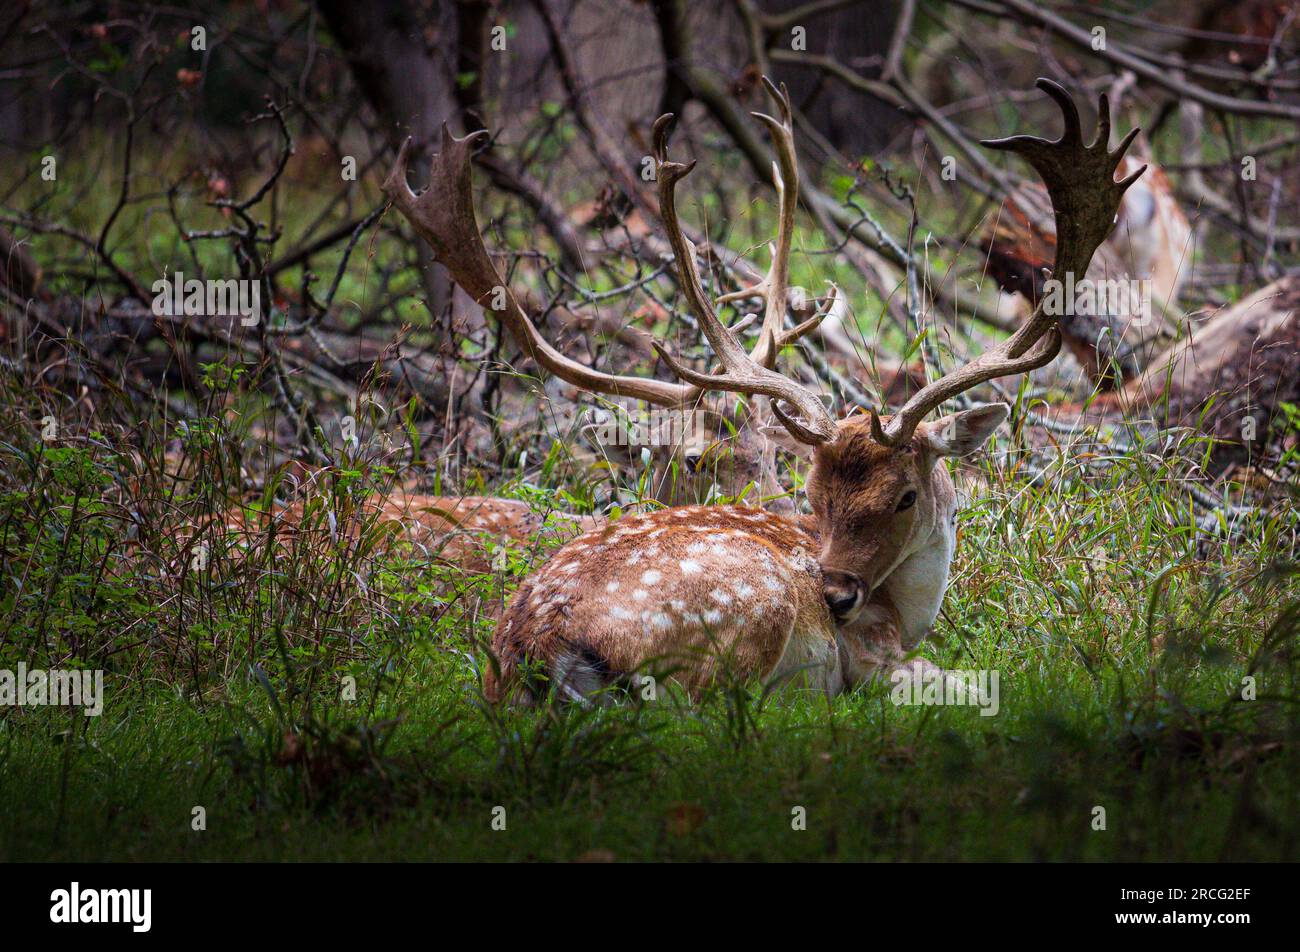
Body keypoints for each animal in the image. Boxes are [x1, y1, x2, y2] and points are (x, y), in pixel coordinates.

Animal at [381, 77, 1145, 703]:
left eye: (904, 495)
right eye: (814, 494)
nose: (833, 596)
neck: (910, 608)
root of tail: (537, 649)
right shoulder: (878, 657)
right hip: (746, 612)